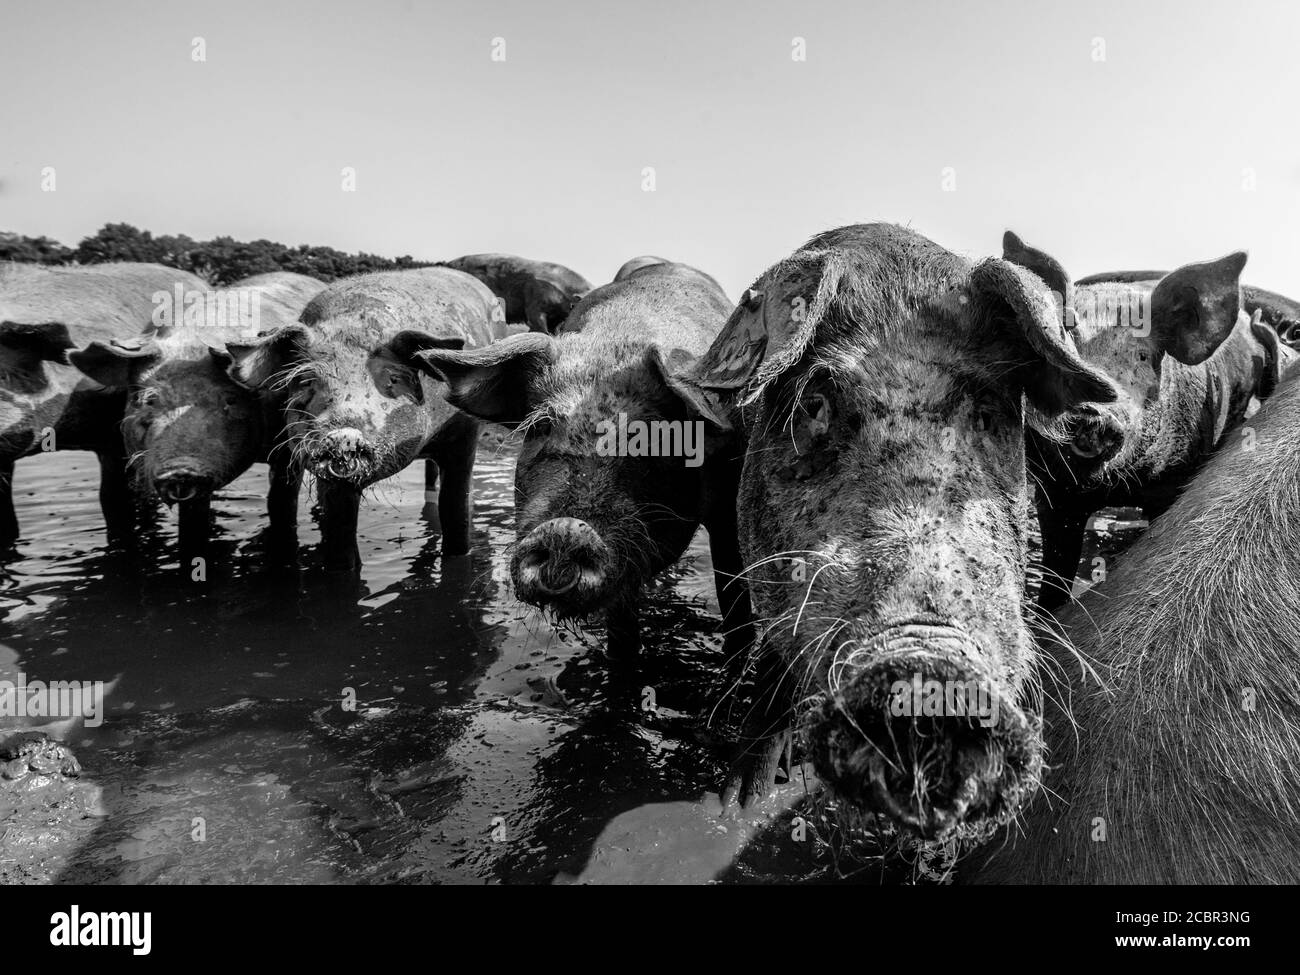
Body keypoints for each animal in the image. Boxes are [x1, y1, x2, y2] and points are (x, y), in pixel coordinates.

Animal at [66, 272, 326, 547]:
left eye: (230, 400)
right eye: (148, 400)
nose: (180, 469)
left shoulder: (288, 446)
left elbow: (281, 500)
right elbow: (193, 521)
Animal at [223, 267, 503, 570]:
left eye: (393, 379)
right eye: (306, 380)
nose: (343, 435)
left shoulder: (465, 435)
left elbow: (455, 510)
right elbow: (341, 536)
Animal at [412, 262, 749, 661]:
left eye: (655, 436)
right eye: (540, 426)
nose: (565, 529)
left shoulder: (727, 505)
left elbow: (734, 596)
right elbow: (621, 629)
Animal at [1002, 231, 1299, 607]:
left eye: (1142, 356)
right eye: (1062, 341)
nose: (1091, 412)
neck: (1110, 490)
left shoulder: (1174, 483)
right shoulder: (1054, 492)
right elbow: (1057, 569)